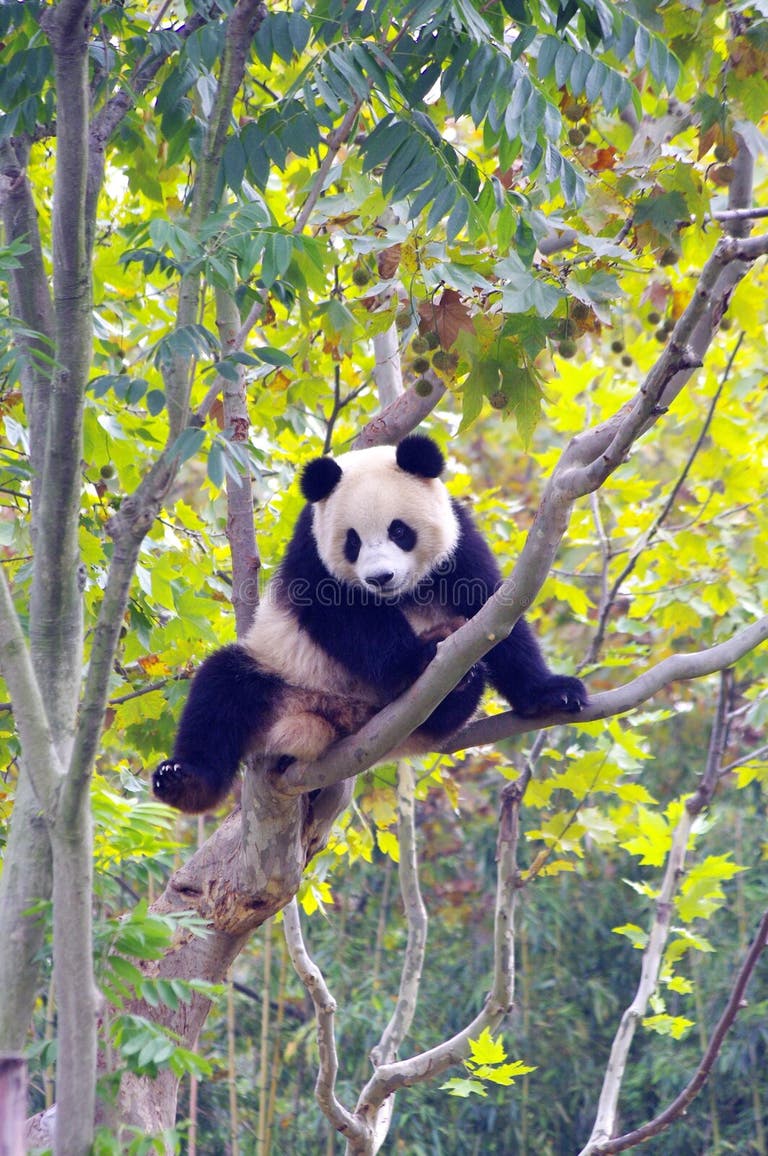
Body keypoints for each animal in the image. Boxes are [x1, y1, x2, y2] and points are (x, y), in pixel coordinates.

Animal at [153, 434, 587, 813]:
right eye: (353, 541)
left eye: (400, 530)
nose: (380, 578)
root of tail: (338, 717)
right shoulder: (312, 553)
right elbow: (344, 617)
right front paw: (416, 658)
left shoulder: (459, 541)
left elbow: (492, 613)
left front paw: (552, 693)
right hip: (284, 674)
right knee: (221, 691)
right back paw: (184, 782)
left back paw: (456, 683)